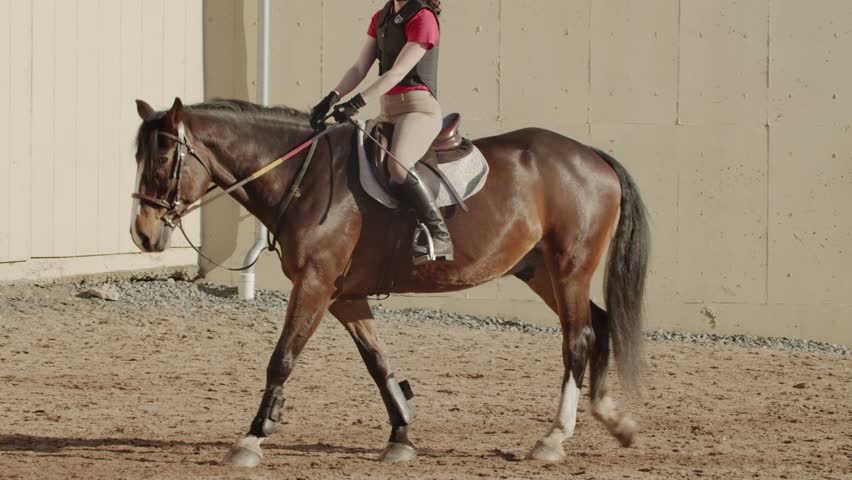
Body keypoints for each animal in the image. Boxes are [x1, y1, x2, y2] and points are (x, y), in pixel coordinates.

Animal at [130, 97, 649, 466]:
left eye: (163, 160)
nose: (143, 234)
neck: (305, 176)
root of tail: (590, 156)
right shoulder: (345, 296)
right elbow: (377, 363)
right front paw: (401, 435)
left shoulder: (315, 284)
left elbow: (282, 359)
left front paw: (252, 437)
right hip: (540, 271)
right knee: (600, 325)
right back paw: (616, 420)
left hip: (570, 268)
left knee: (577, 339)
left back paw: (554, 437)